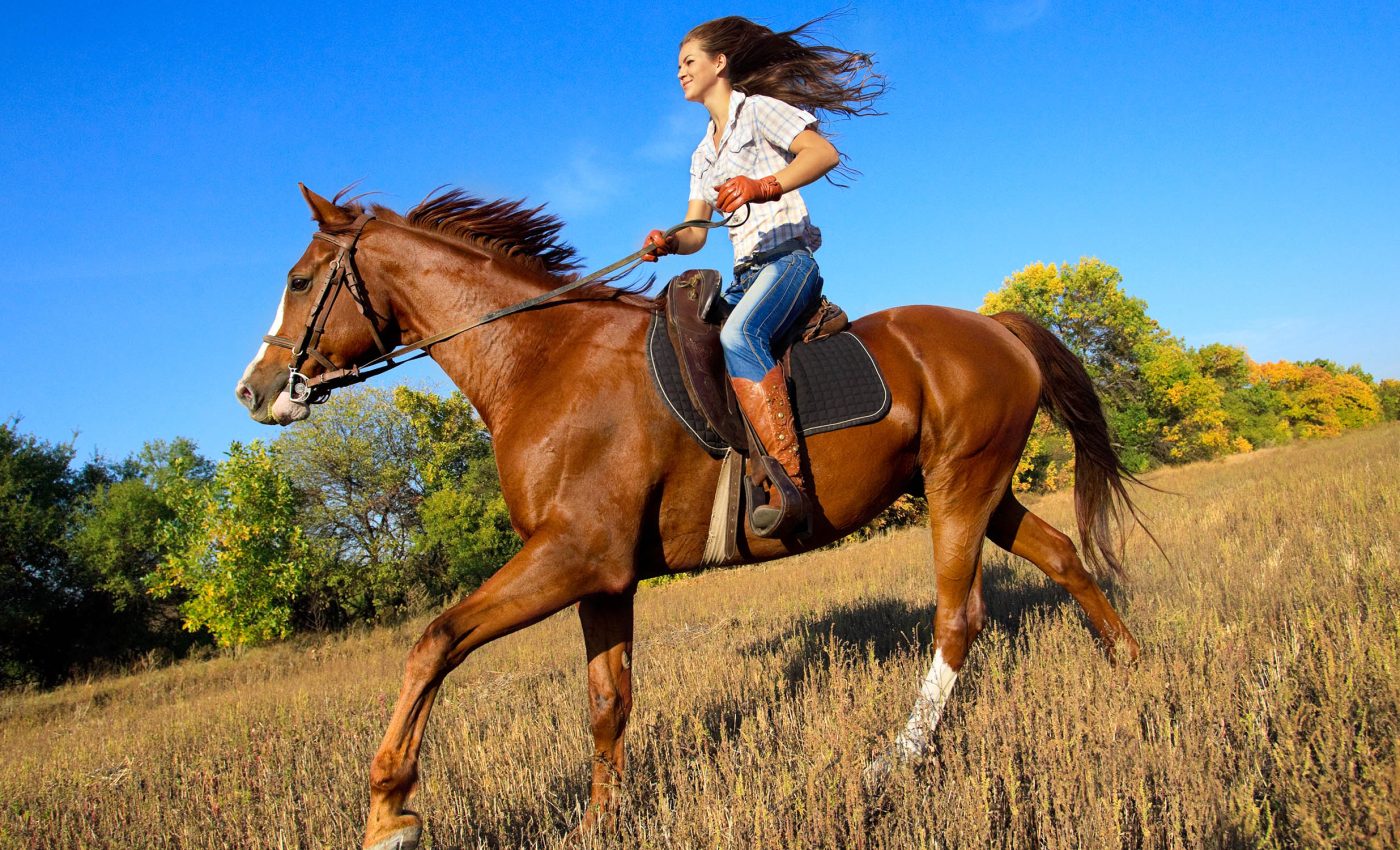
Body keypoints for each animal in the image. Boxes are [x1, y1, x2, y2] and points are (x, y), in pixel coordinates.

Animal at [236, 185, 1144, 850]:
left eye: (299, 281)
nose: (253, 390)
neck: (541, 361)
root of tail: (994, 325)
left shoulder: (573, 555)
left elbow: (434, 643)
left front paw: (389, 811)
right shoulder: (604, 578)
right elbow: (607, 701)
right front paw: (599, 824)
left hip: (958, 491)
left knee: (960, 617)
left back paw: (894, 761)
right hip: (979, 488)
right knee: (1063, 555)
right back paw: (1133, 667)